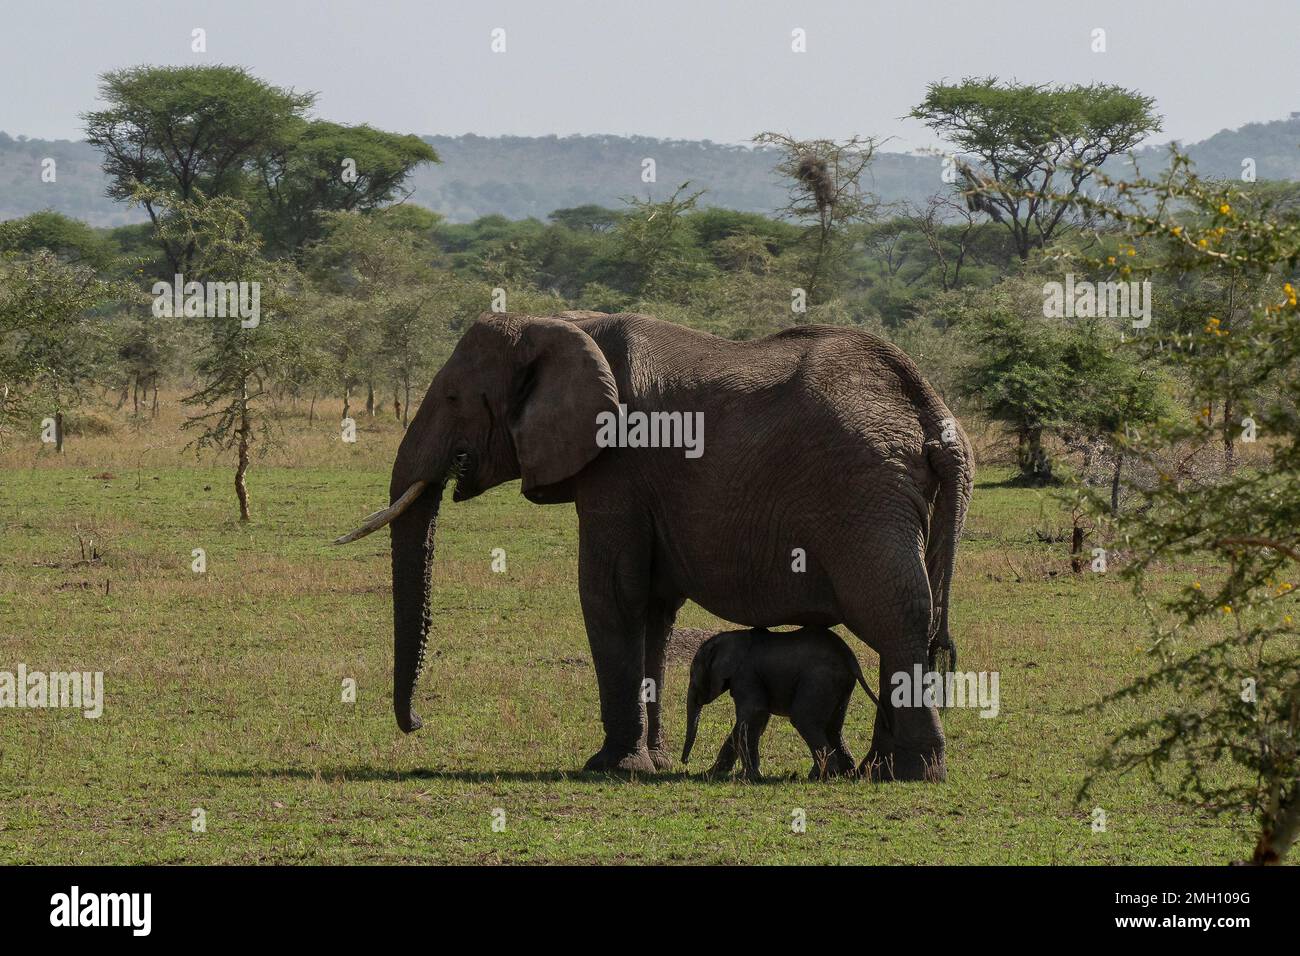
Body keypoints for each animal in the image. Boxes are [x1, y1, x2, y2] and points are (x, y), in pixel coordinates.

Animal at [680, 626, 883, 781]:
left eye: (693, 676)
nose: (685, 762)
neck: (730, 638)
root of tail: (852, 659)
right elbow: (754, 722)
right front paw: (712, 773)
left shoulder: (746, 674)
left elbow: (753, 714)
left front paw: (750, 777)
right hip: (840, 685)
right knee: (833, 727)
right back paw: (844, 772)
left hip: (820, 678)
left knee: (804, 720)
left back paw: (821, 775)